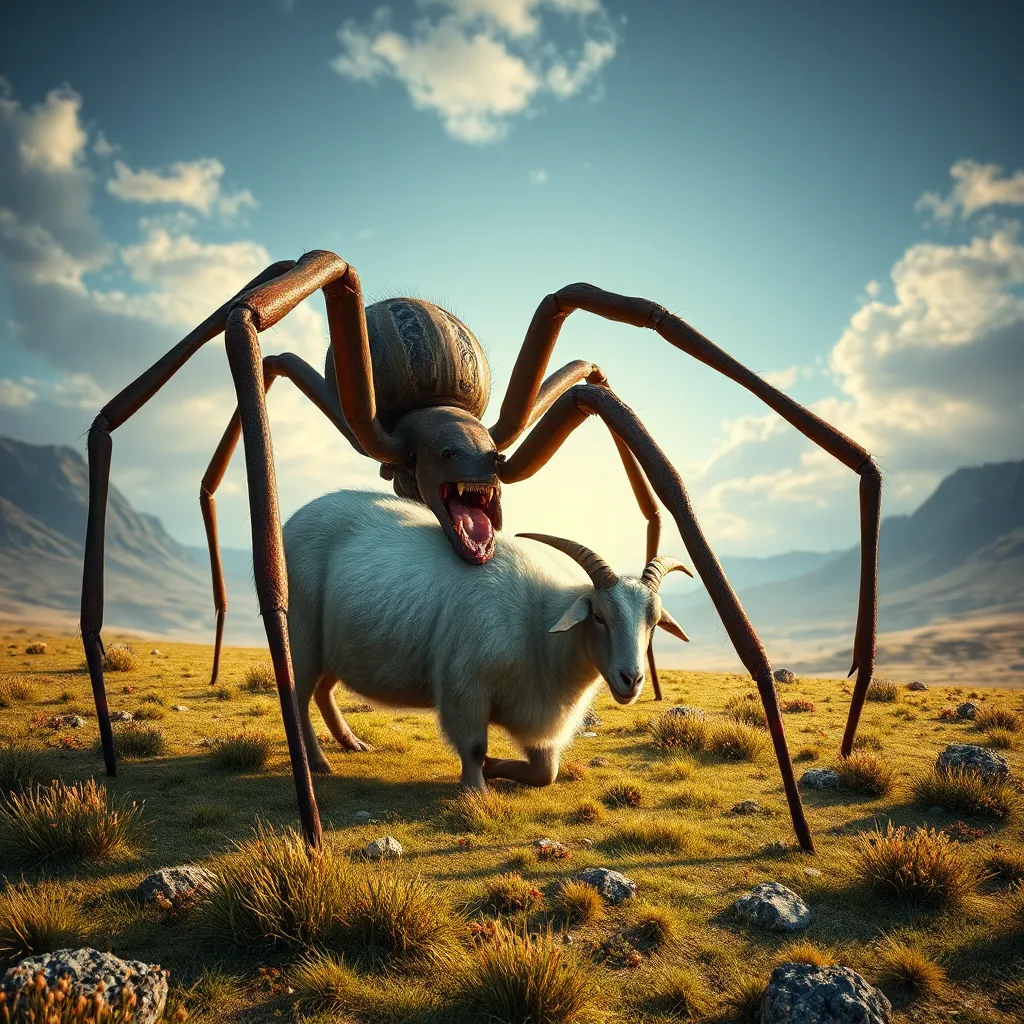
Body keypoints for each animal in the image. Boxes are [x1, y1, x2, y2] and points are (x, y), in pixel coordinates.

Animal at [284, 489, 691, 787]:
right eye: (600, 616)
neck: (537, 625)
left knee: (323, 692)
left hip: (334, 649)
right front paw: (476, 789)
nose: (632, 680)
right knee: (299, 698)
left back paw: (351, 743)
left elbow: (546, 773)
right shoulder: (465, 687)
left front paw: (496, 766)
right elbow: (474, 747)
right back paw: (317, 762)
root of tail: (292, 520)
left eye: (654, 621)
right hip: (301, 639)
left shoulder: (535, 711)